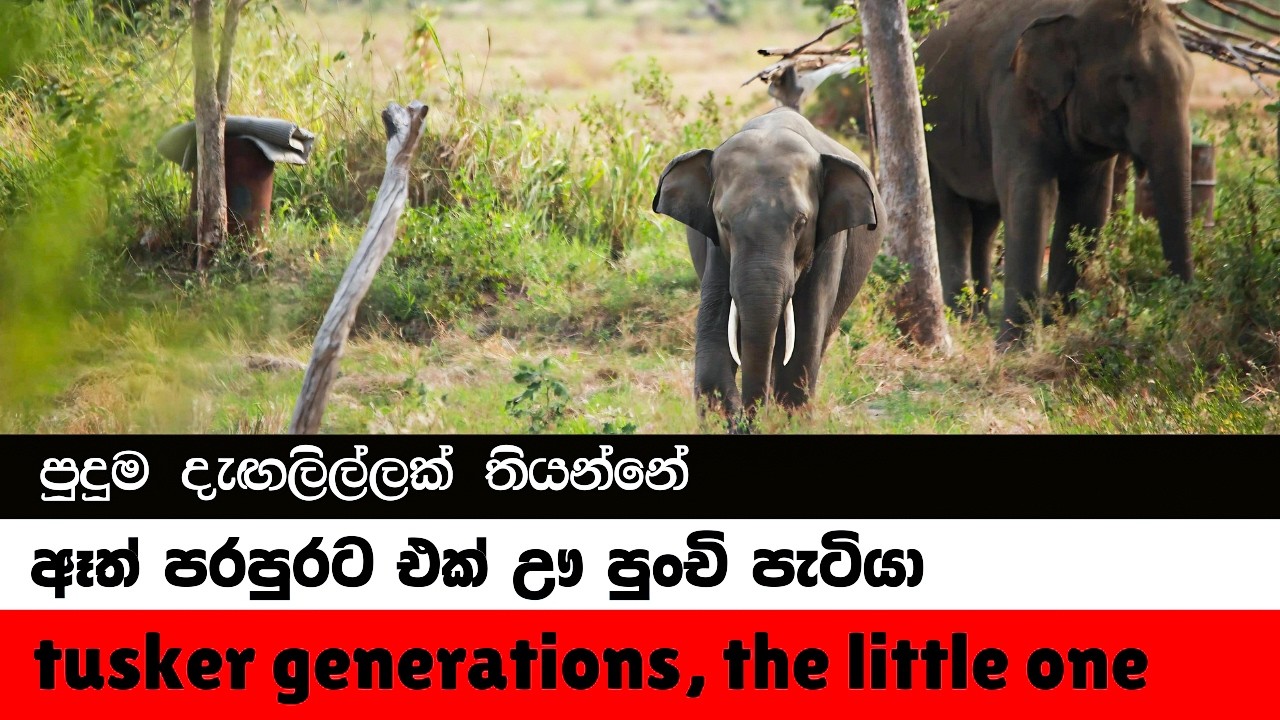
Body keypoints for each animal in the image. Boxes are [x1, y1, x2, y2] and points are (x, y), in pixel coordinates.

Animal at [652, 106, 884, 418]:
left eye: (801, 223)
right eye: (724, 222)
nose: (750, 419)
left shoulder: (831, 240)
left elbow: (806, 331)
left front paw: (784, 419)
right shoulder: (716, 247)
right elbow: (715, 326)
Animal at [917, 0, 1195, 342]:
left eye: (1191, 75)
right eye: (1129, 78)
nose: (1180, 305)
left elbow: (1088, 207)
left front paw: (1056, 331)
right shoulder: (1014, 95)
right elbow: (1033, 197)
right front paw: (1014, 344)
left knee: (985, 222)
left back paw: (978, 322)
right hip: (929, 136)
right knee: (952, 214)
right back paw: (962, 324)